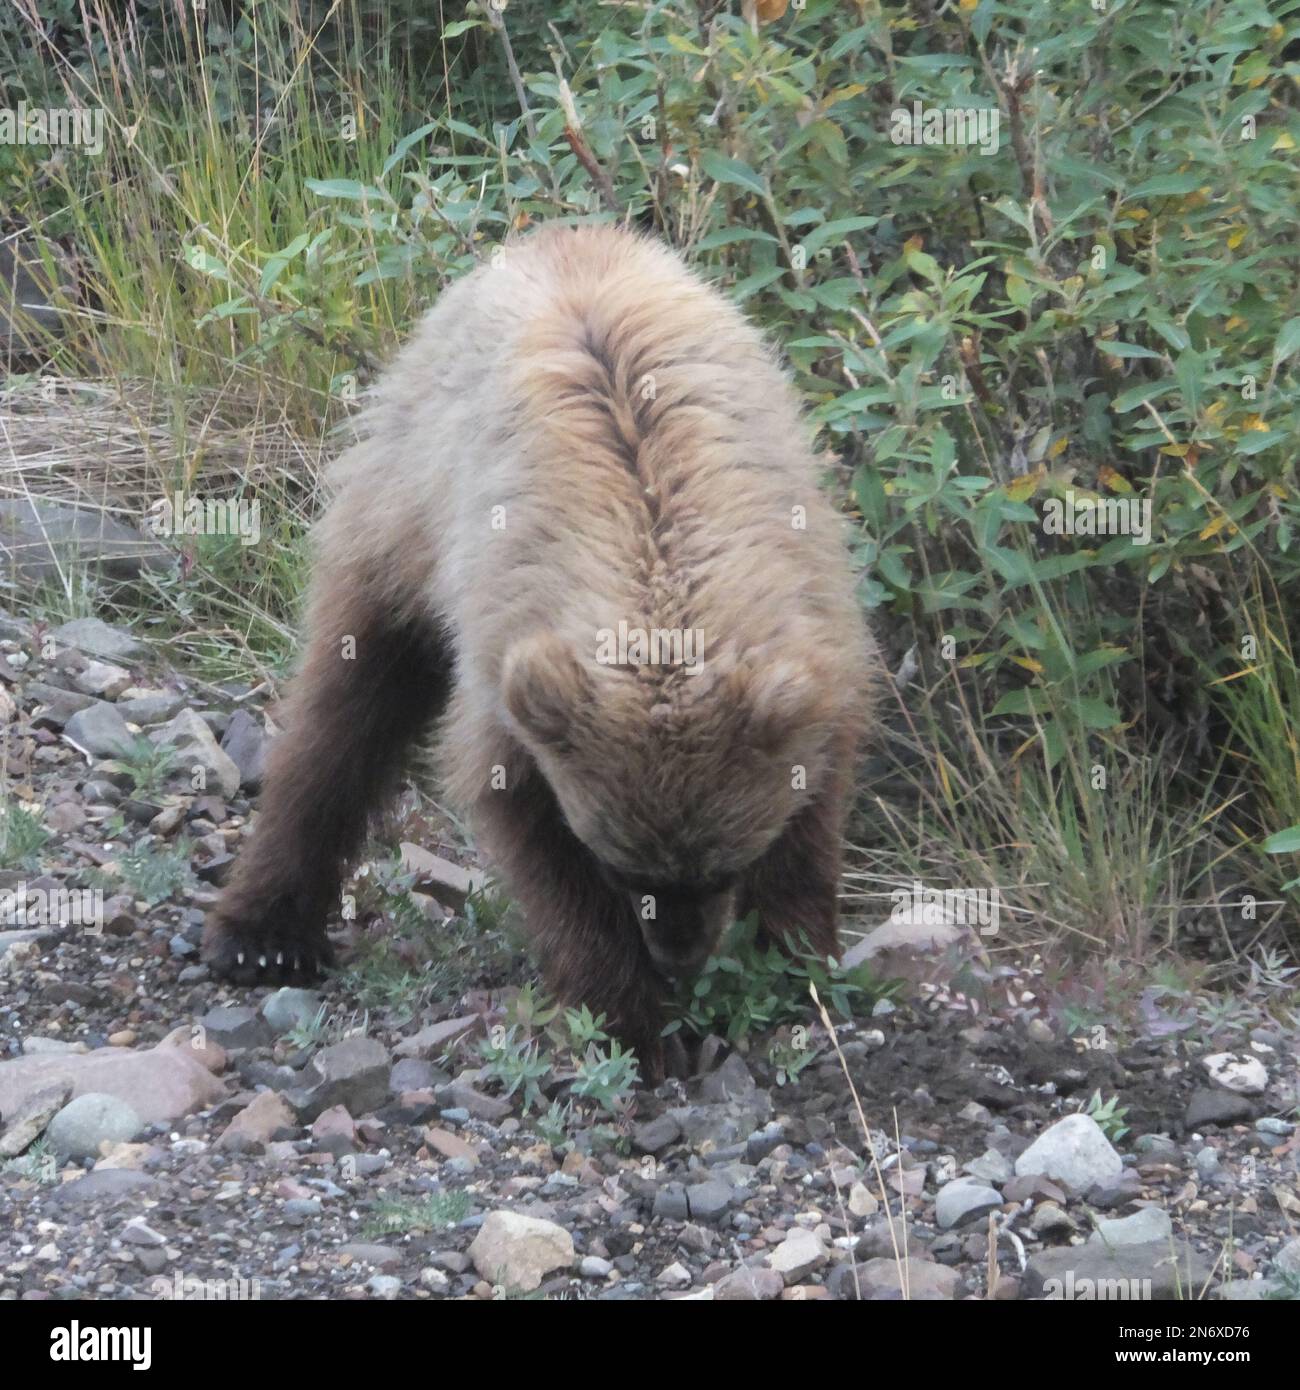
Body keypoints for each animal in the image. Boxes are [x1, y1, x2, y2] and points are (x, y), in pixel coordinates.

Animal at [202, 223, 877, 1081]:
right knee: (344, 714)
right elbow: (528, 824)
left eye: (722, 865)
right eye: (624, 868)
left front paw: (795, 967)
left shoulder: (818, 620)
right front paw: (631, 1025)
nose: (679, 957)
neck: (657, 569)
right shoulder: (507, 654)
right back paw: (263, 936)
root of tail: (558, 234)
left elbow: (812, 802)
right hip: (402, 511)